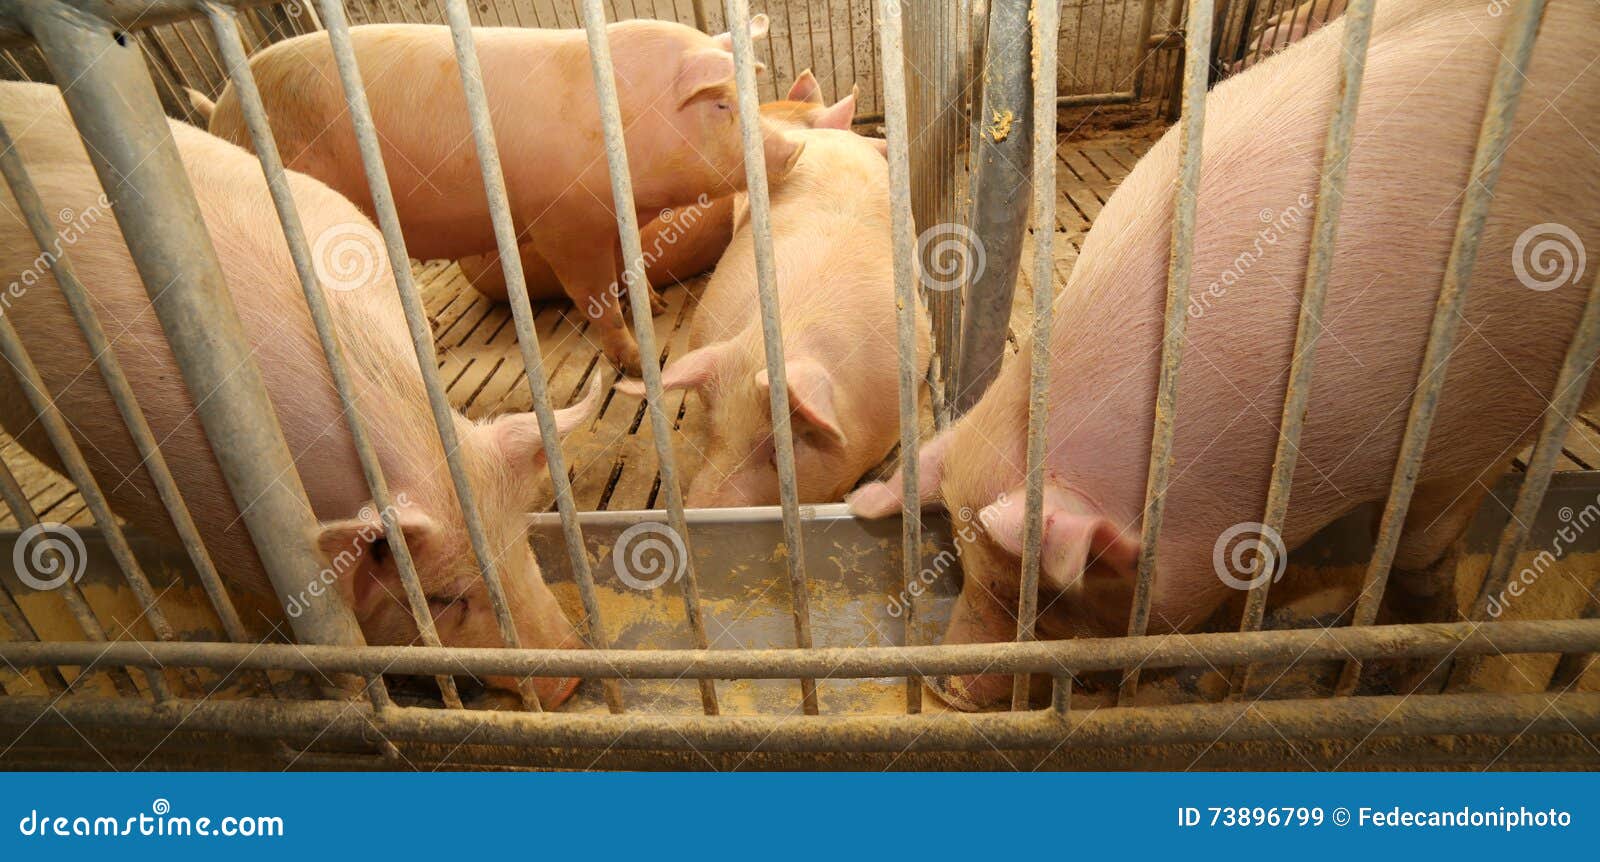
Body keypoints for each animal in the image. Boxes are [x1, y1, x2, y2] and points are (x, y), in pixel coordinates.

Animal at [204, 17, 804, 376]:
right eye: (721, 105)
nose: (794, 149)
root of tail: (220, 112)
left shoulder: (609, 219)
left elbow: (623, 267)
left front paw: (654, 304)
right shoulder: (563, 223)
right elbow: (594, 297)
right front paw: (637, 362)